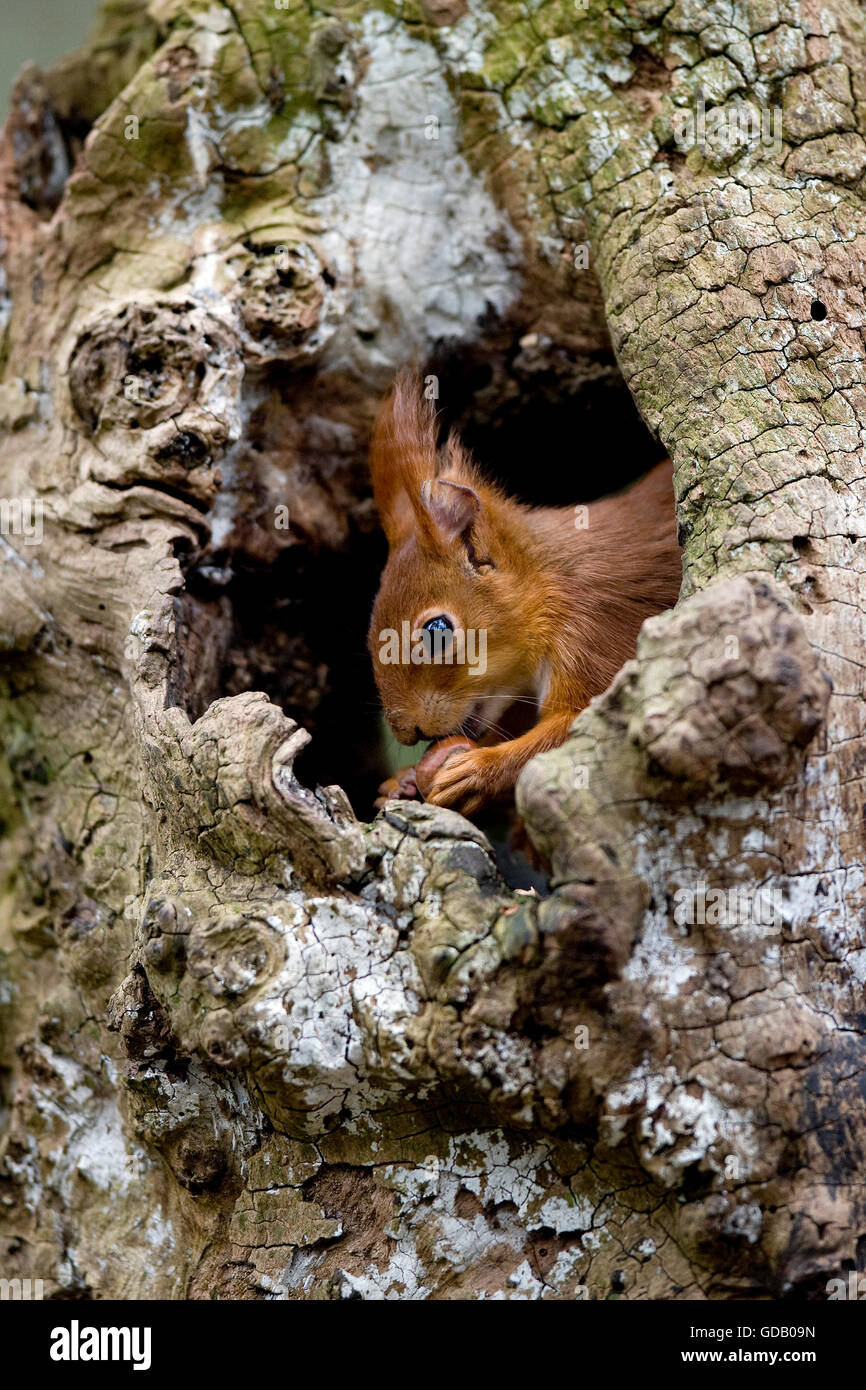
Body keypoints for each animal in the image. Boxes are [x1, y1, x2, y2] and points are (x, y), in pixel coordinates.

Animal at [367, 372, 682, 816]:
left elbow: (573, 728)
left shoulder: (599, 634)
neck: (553, 585)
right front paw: (403, 781)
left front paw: (477, 771)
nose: (406, 732)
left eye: (436, 631)